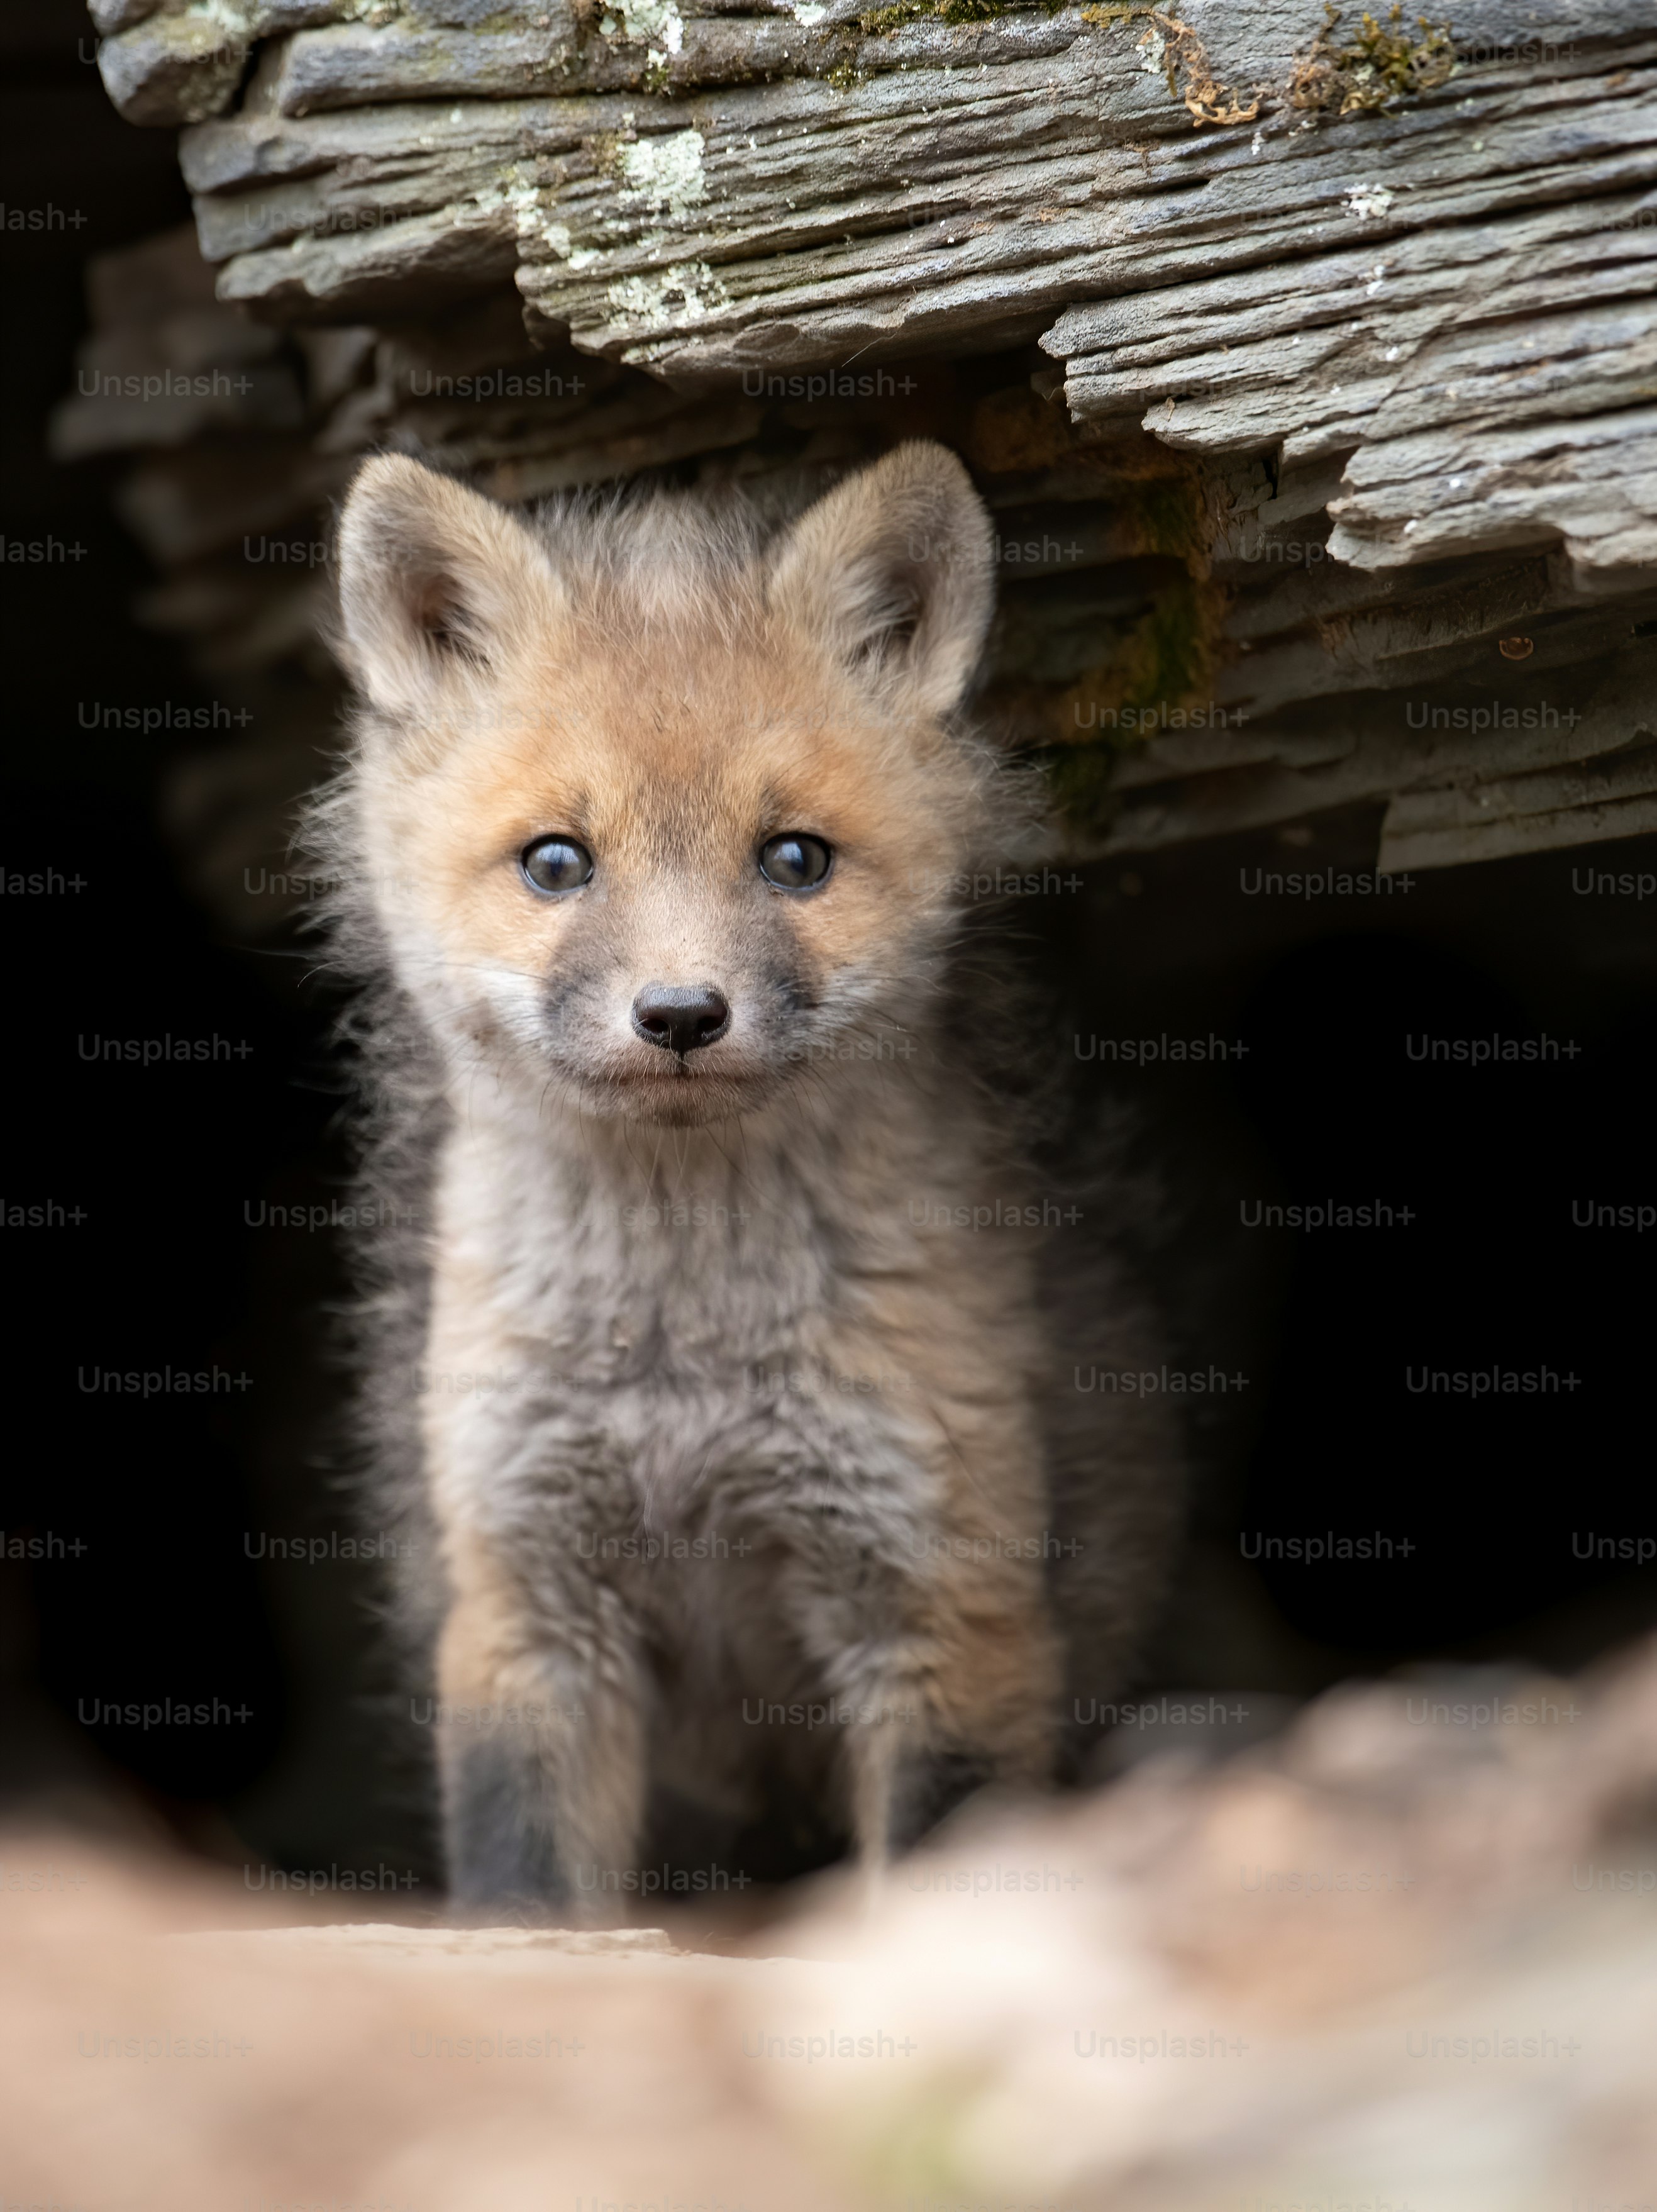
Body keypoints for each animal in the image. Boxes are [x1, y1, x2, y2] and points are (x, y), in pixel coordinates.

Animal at [313, 440, 1185, 1918]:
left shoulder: (944, 1604)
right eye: (557, 861)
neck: (687, 1370)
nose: (679, 1015)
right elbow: (527, 1896)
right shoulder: (525, 1595)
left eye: (795, 859)